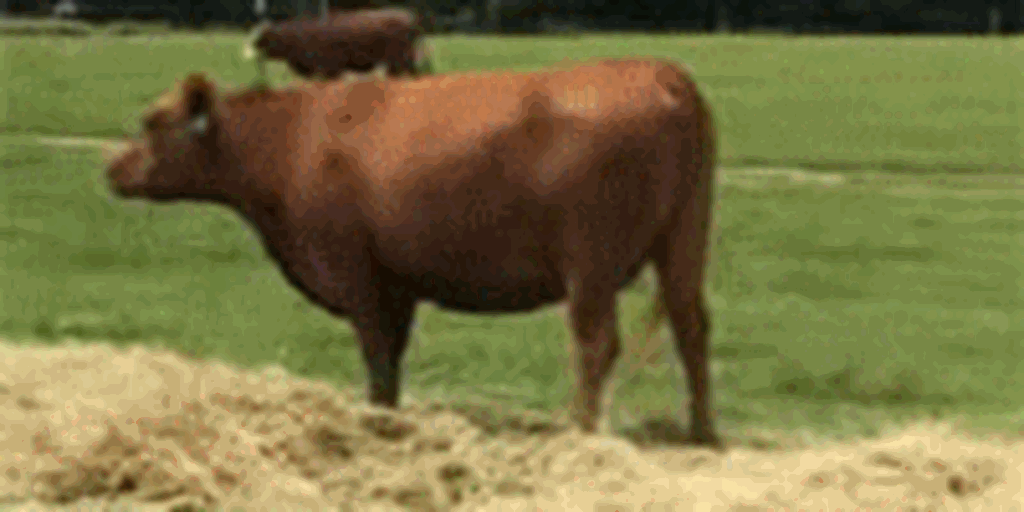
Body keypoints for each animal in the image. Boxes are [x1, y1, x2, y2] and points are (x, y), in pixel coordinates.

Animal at [106, 59, 721, 448]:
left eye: (153, 122)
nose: (112, 167)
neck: (296, 138)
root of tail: (657, 70)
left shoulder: (356, 272)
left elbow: (377, 355)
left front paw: (376, 425)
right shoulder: (398, 281)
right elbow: (392, 360)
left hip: (589, 262)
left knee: (596, 344)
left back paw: (583, 433)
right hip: (683, 243)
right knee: (691, 328)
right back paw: (702, 435)